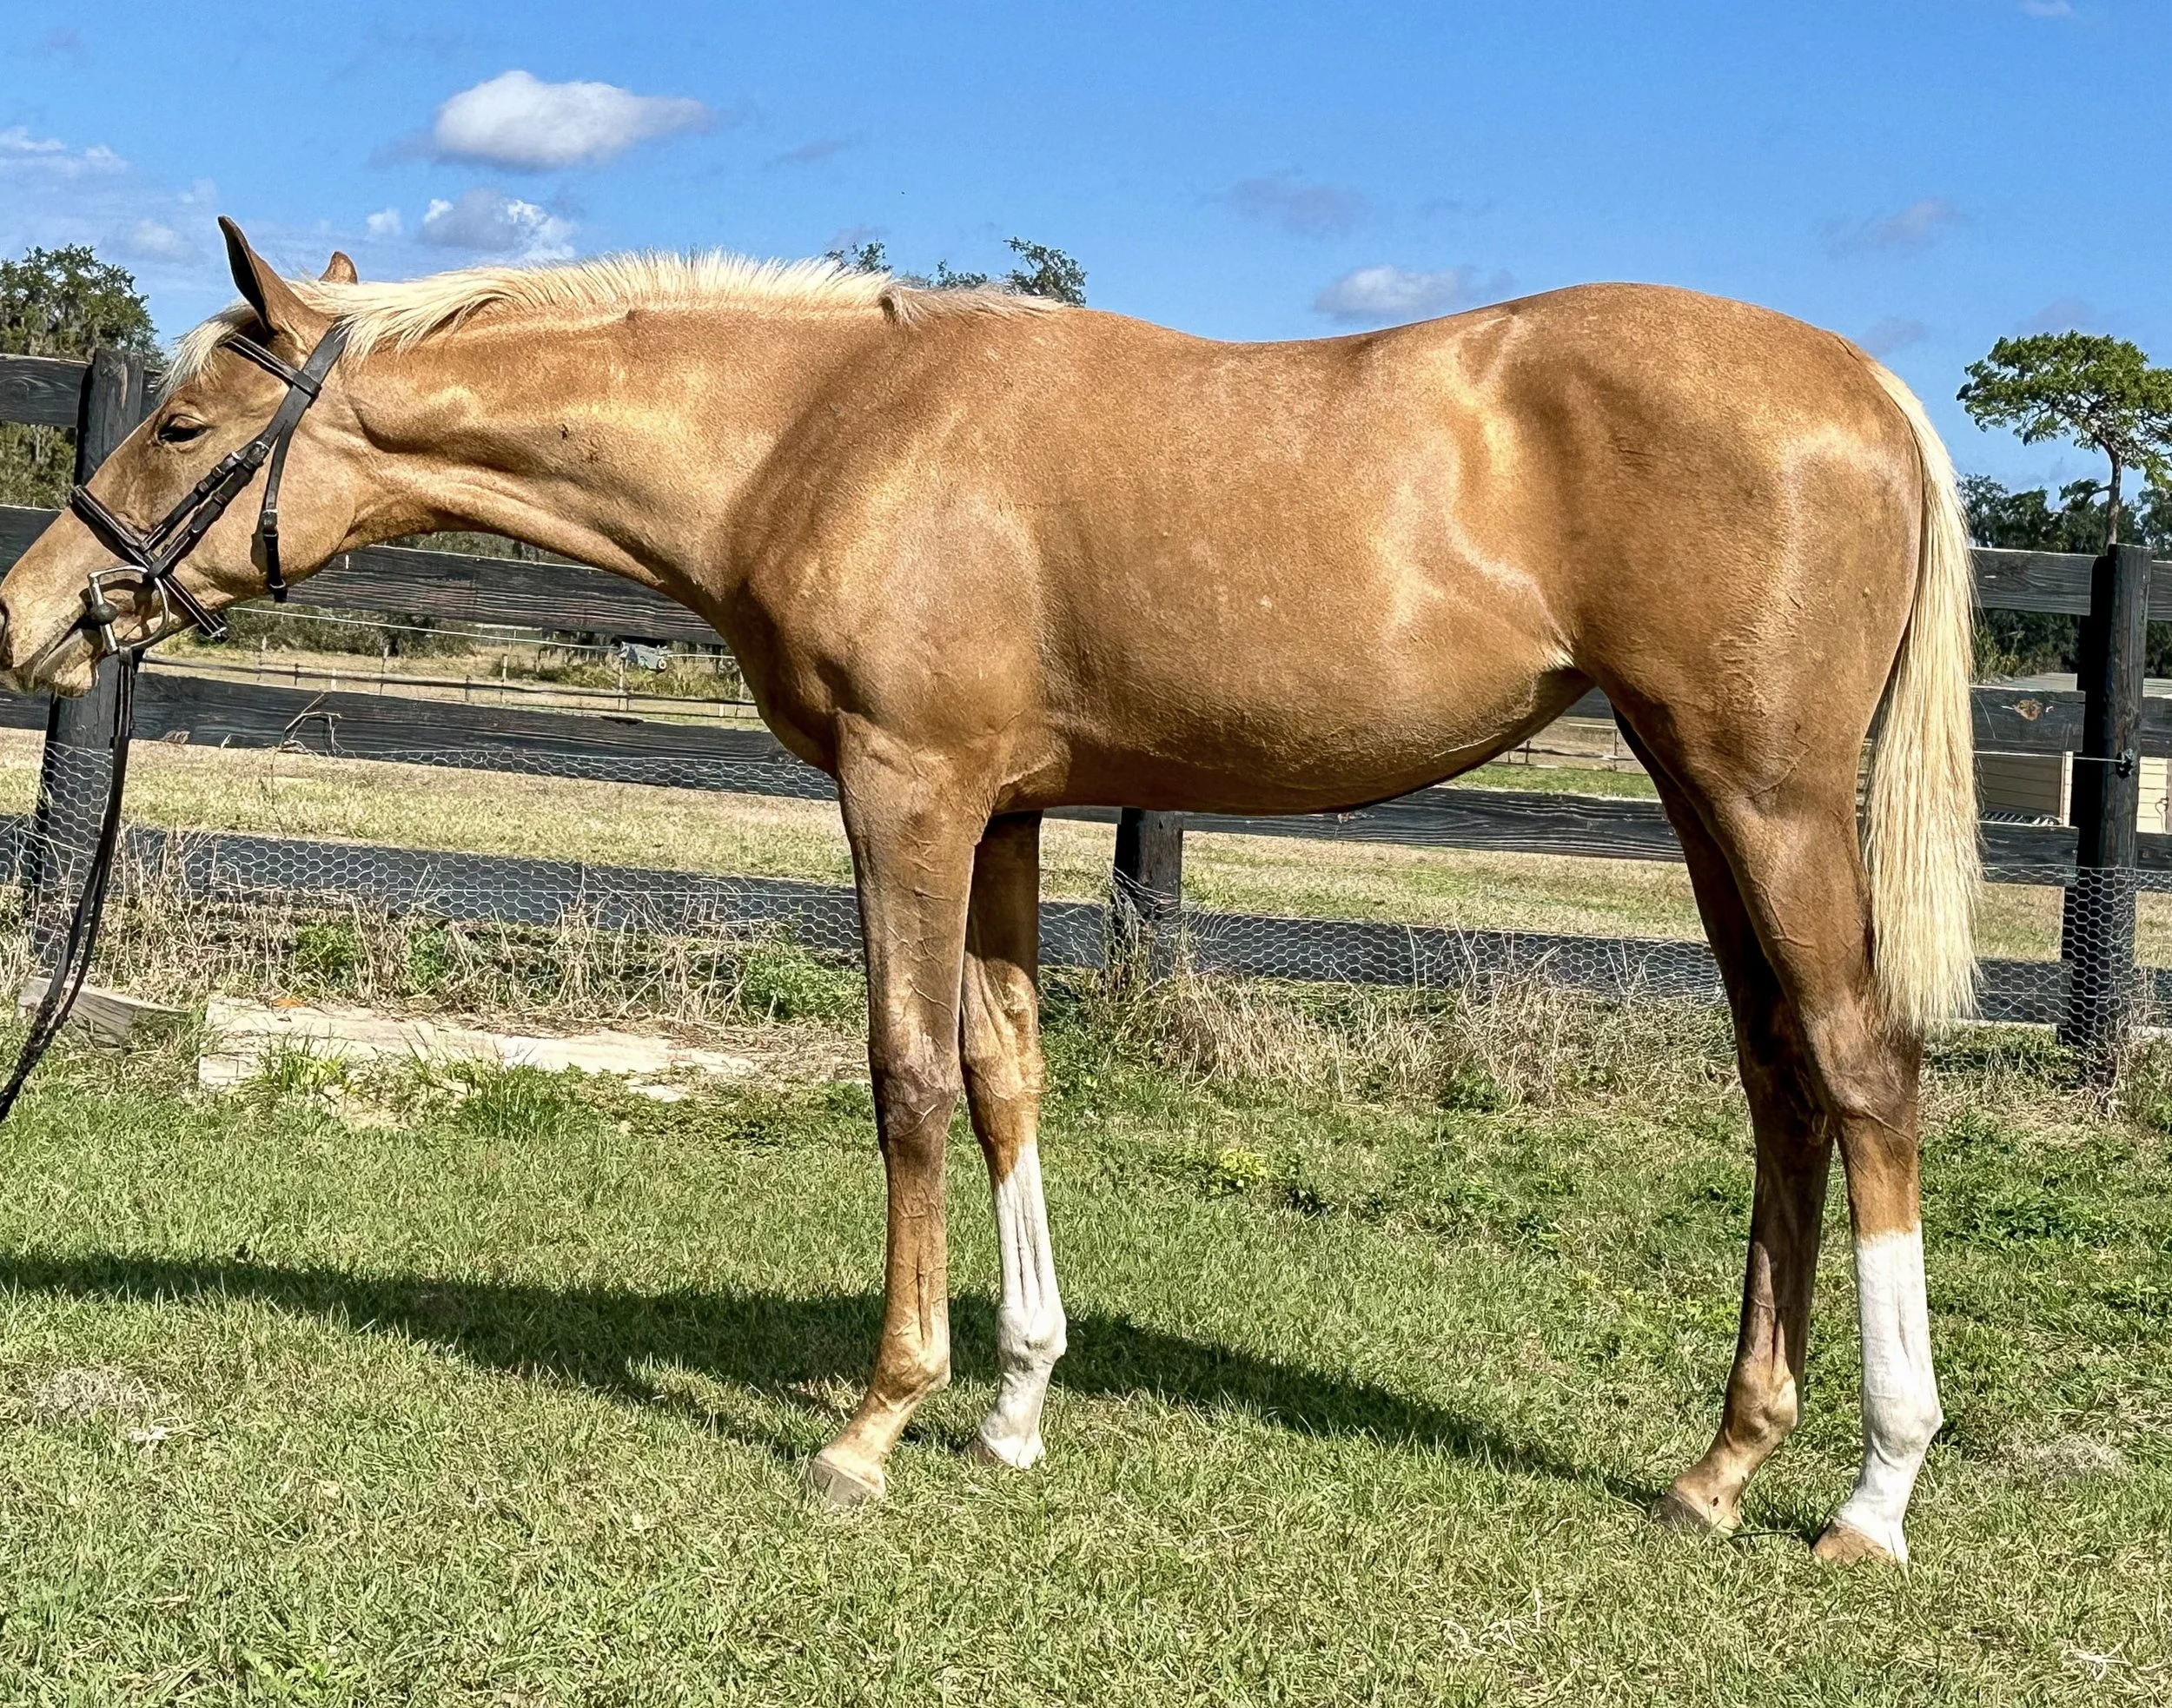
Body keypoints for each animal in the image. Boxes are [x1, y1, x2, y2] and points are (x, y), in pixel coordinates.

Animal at [0, 219, 1976, 1564]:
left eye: (181, 424)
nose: (29, 618)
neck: (820, 427)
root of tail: (1872, 392)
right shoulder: (1012, 812)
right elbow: (1010, 1071)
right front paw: (1016, 1400)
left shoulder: (911, 793)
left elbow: (904, 1078)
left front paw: (874, 1420)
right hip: (1704, 798)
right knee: (1779, 1083)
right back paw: (1721, 1463)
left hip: (1768, 797)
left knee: (1864, 1070)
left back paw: (1874, 1487)